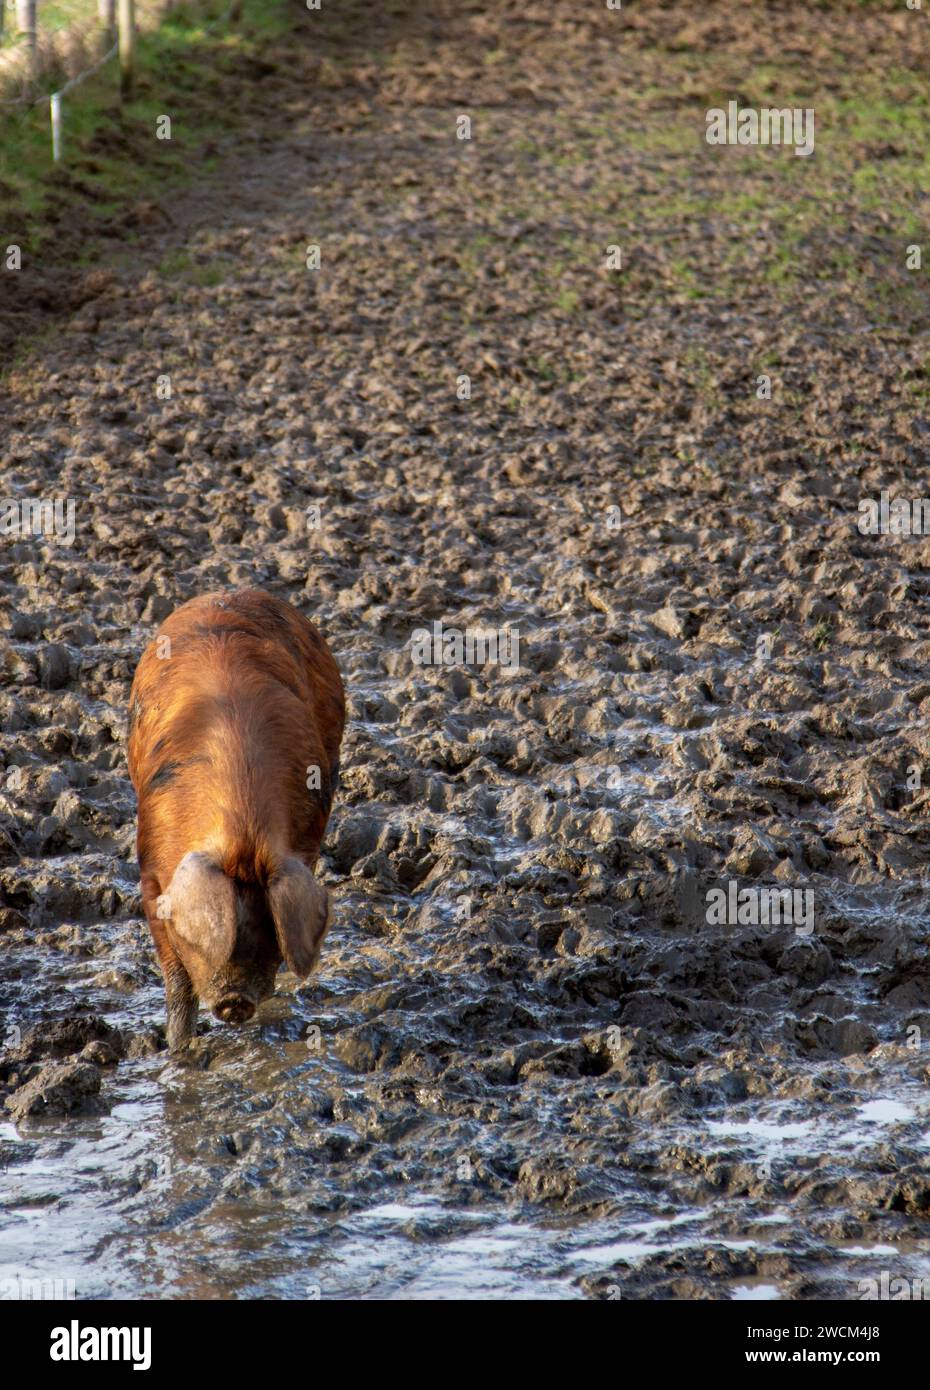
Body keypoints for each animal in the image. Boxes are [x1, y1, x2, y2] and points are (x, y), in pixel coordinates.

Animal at [127, 589, 345, 1051]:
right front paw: (179, 1050)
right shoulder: (151, 873)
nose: (234, 1002)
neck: (243, 833)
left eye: (269, 936)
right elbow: (176, 977)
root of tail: (230, 593)